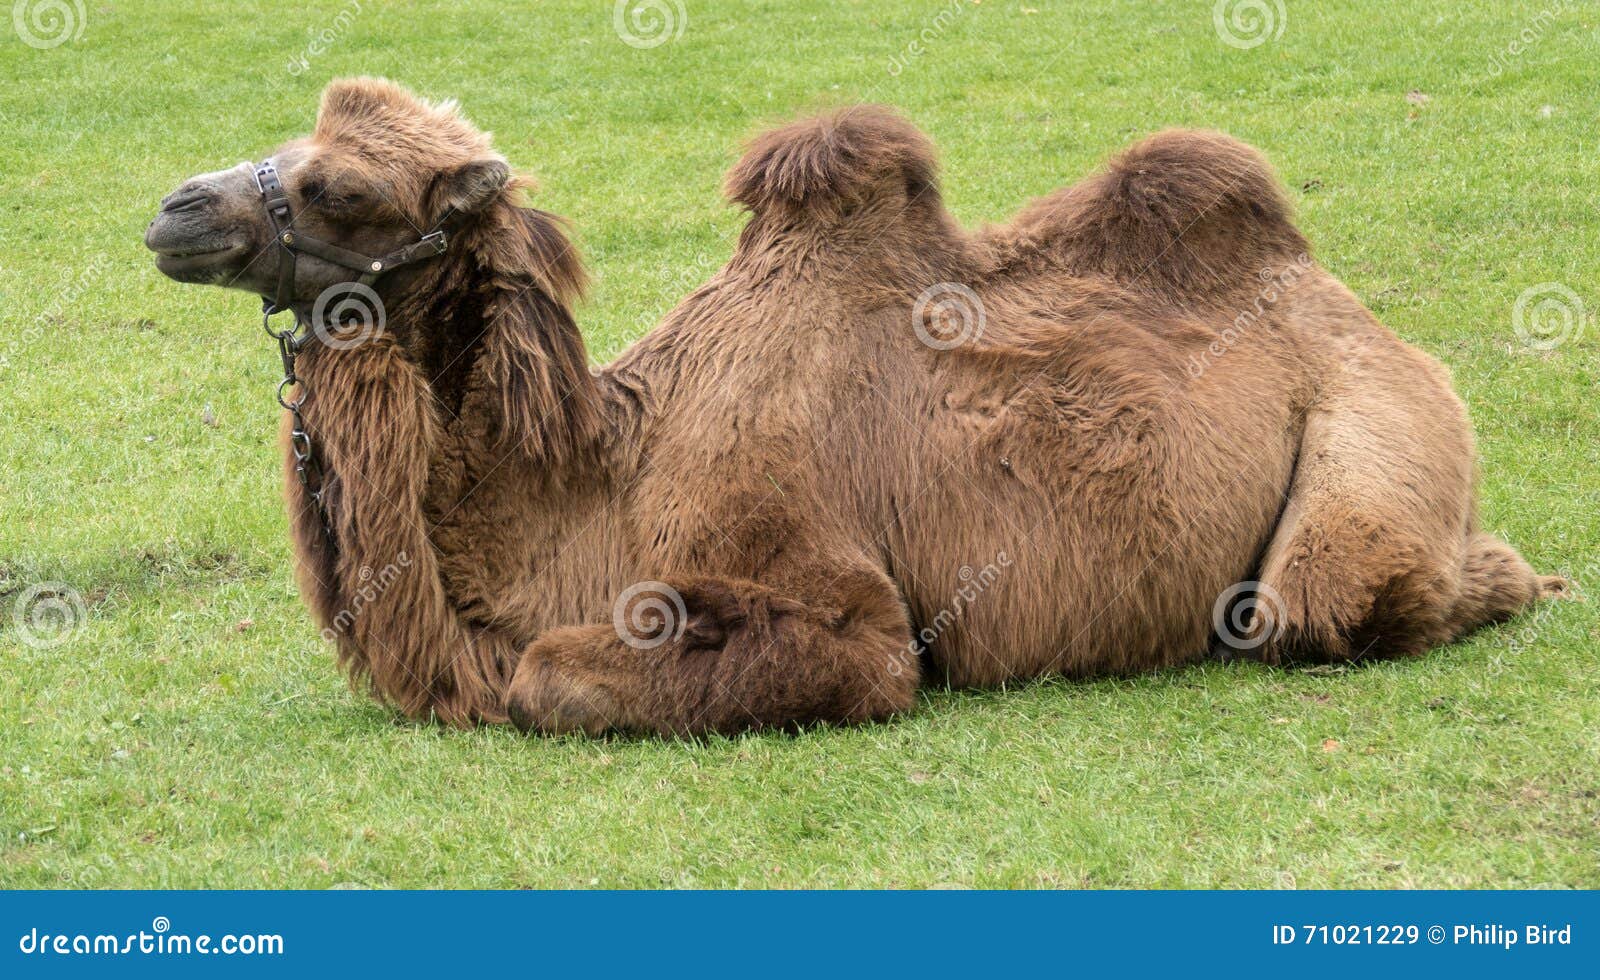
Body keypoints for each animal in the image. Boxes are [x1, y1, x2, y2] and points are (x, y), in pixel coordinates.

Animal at [145, 78, 1562, 736]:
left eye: (341, 189)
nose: (176, 208)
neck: (602, 475)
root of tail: (1351, 305)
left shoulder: (837, 608)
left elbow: (555, 672)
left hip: (1372, 418)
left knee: (1315, 599)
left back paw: (1516, 579)